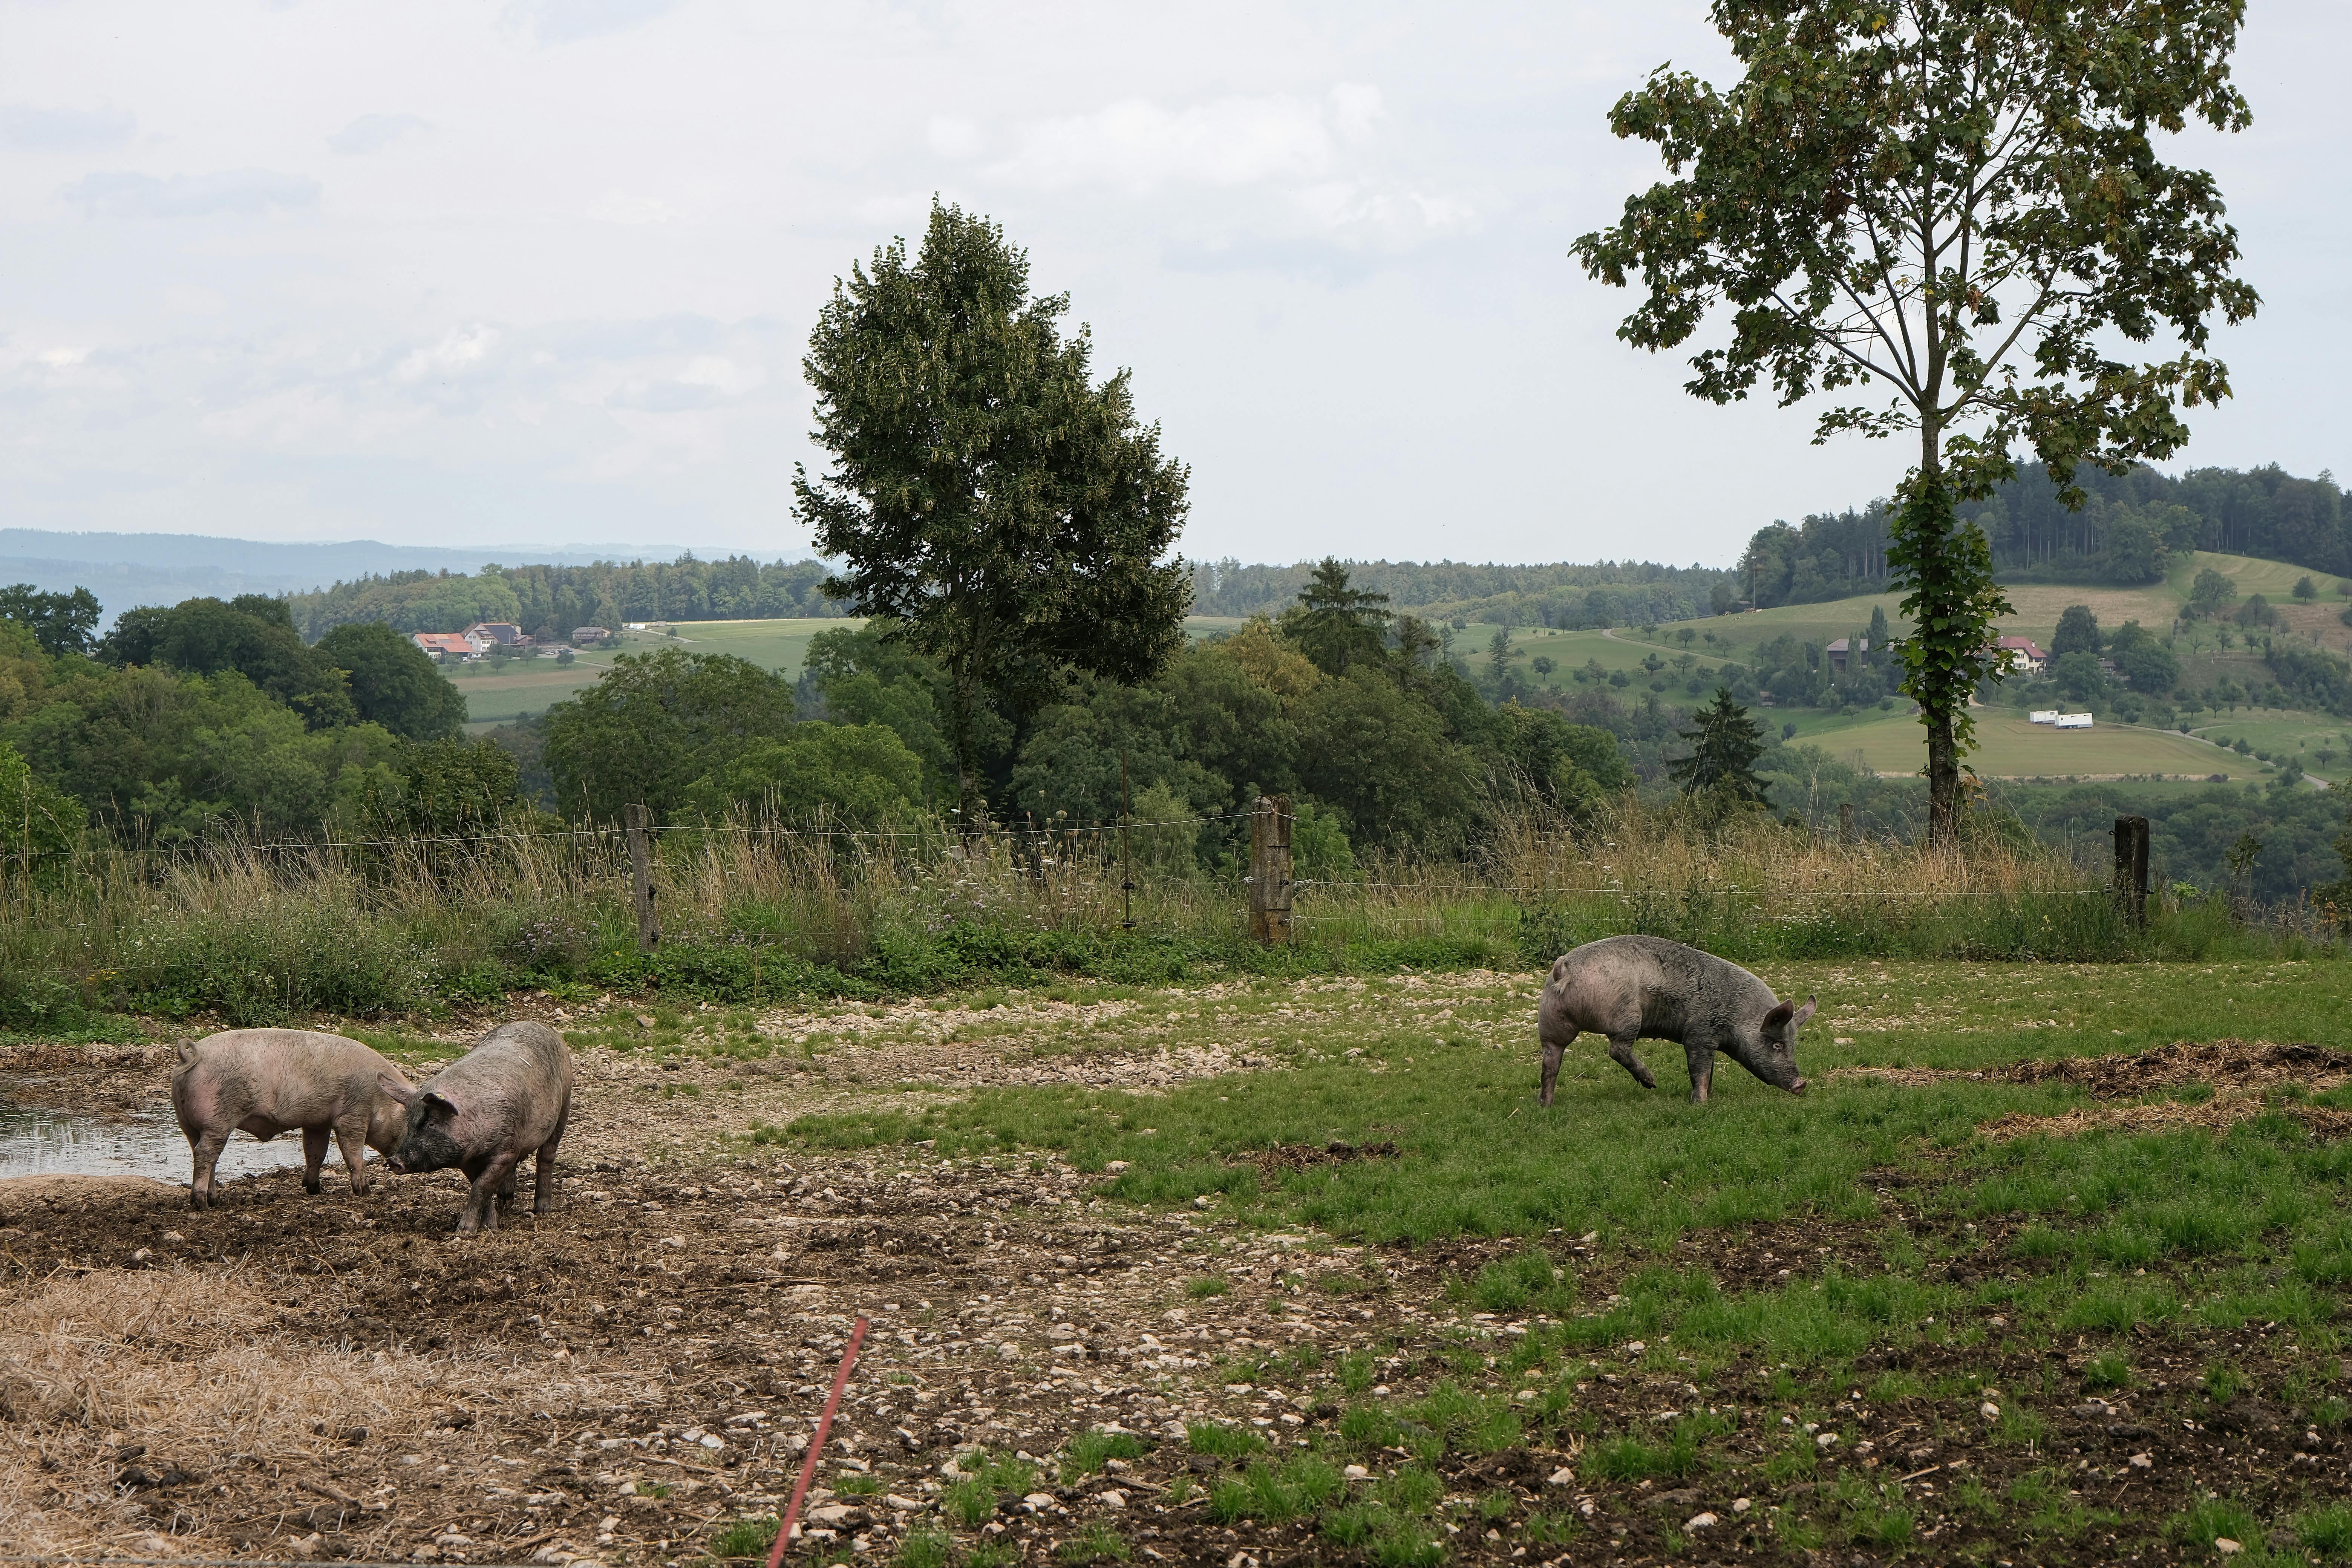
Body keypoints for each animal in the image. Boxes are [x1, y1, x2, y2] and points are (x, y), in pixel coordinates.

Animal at [171, 1030, 415, 1209]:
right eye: (410, 1123)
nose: (397, 1164)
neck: (381, 1100)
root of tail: (192, 1056)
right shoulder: (352, 1115)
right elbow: (353, 1153)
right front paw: (365, 1192)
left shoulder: (317, 1122)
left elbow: (316, 1152)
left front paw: (314, 1189)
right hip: (217, 1121)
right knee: (206, 1155)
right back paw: (201, 1204)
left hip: (189, 1124)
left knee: (201, 1154)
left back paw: (214, 1200)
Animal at [376, 1021, 574, 1234]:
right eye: (410, 1123)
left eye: (431, 1124)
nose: (394, 1161)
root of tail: (540, 1024)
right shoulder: (467, 1160)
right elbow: (480, 1187)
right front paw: (490, 1227)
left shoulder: (507, 1149)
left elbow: (481, 1186)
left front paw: (464, 1232)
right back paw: (505, 1206)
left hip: (565, 1102)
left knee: (546, 1157)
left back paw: (542, 1211)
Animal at [1538, 935, 1814, 1106]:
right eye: (1777, 1045)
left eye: (1793, 1045)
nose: (1801, 1084)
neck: (1740, 1016)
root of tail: (1564, 970)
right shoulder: (1699, 1034)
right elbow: (1699, 1070)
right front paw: (1701, 1103)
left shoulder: (1709, 1041)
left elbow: (1709, 1071)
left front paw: (1710, 1097)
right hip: (1627, 1016)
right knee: (1617, 1050)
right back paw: (1651, 1083)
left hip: (1551, 1022)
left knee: (1551, 1062)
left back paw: (1546, 1105)